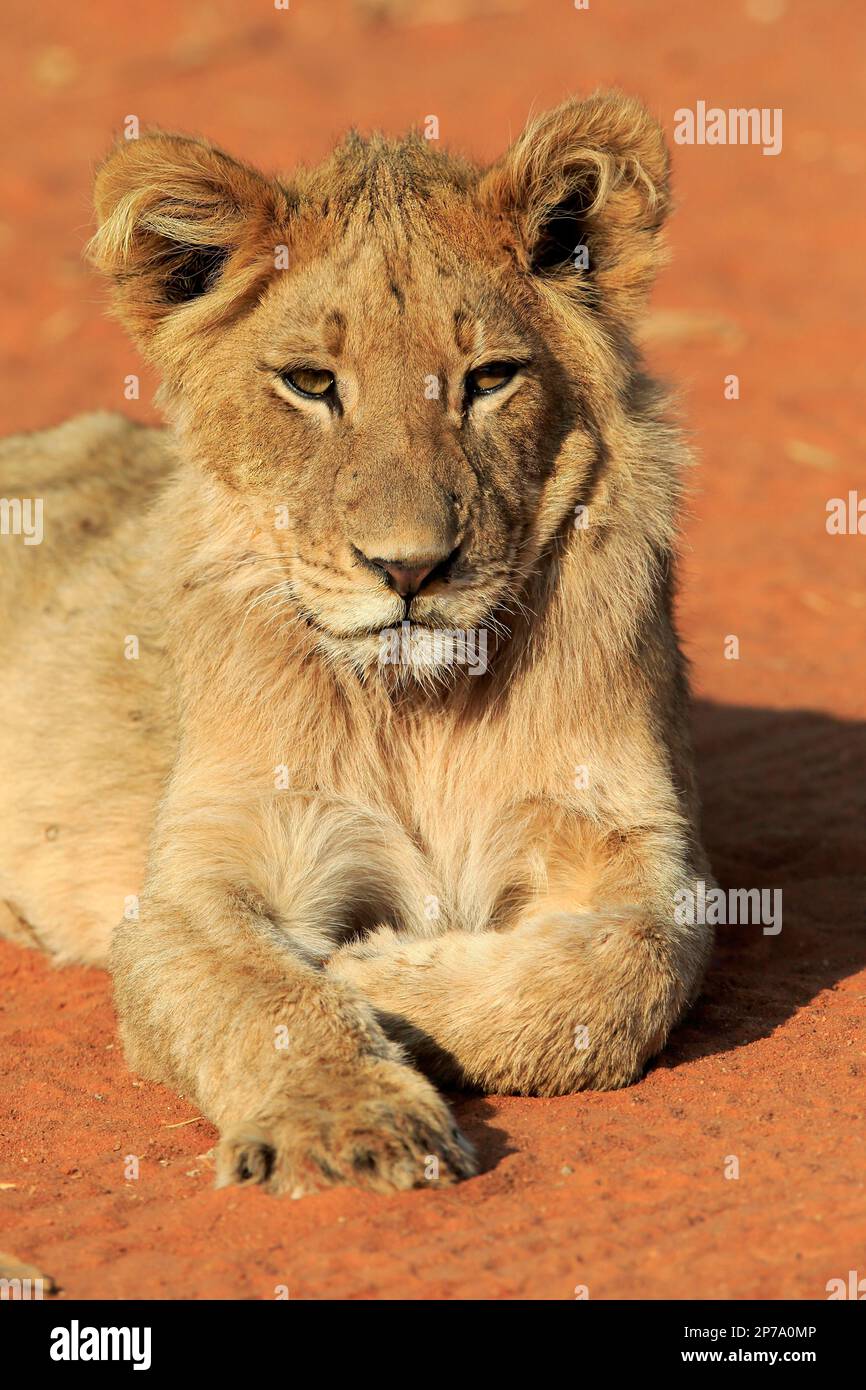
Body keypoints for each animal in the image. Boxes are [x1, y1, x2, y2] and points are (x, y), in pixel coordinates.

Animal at [0, 92, 714, 1194]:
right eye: (309, 382)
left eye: (488, 378)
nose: (410, 570)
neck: (418, 711)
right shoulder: (199, 875)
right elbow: (268, 999)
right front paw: (350, 1123)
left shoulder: (635, 836)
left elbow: (618, 973)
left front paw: (380, 973)